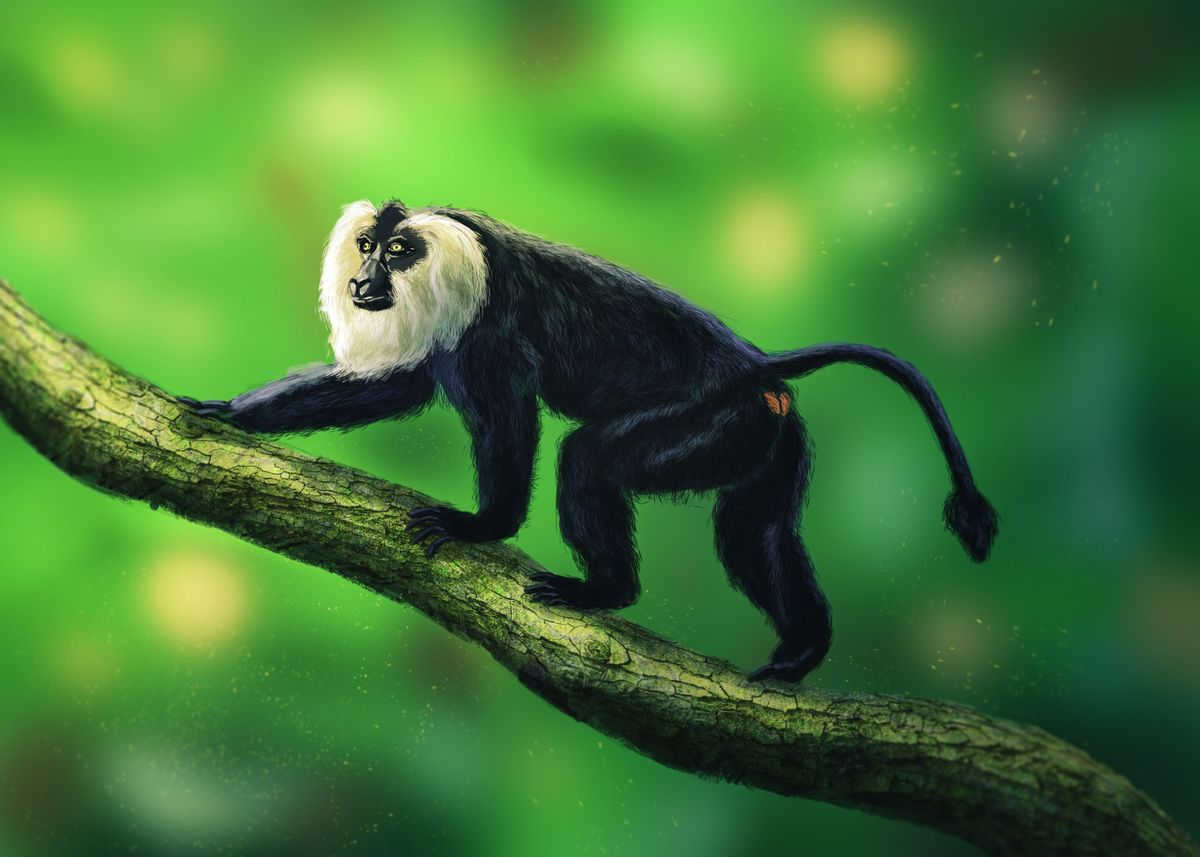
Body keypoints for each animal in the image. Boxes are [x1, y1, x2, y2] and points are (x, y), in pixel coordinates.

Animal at [180, 198, 998, 683]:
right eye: (367, 245)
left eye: (401, 250)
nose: (365, 279)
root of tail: (754, 367)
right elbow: (393, 389)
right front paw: (232, 411)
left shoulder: (491, 330)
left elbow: (510, 424)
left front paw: (480, 527)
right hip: (768, 436)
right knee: (751, 532)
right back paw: (802, 651)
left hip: (714, 421)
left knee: (591, 461)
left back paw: (605, 590)